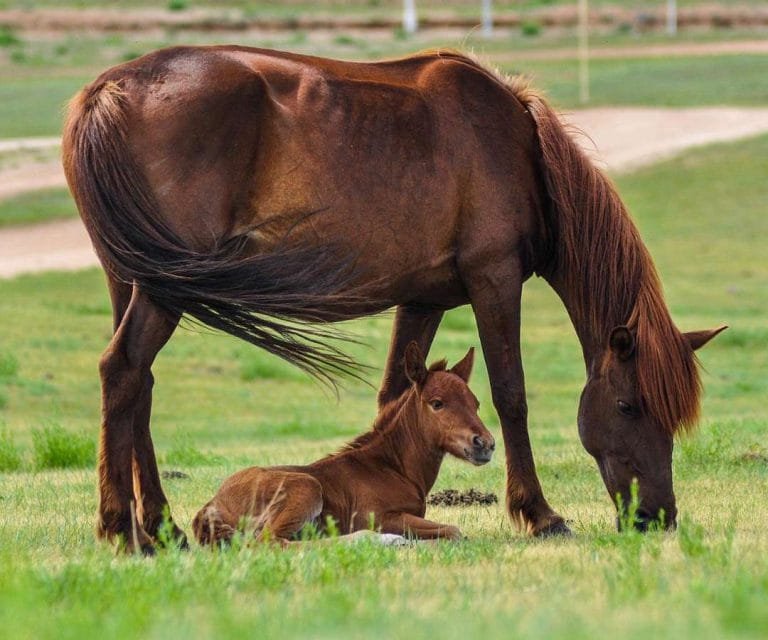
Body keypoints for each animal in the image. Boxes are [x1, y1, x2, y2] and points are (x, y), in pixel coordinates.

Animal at [192, 343, 493, 546]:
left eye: (476, 403)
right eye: (437, 403)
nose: (485, 444)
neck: (392, 467)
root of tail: (212, 505)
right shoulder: (381, 517)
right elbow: (453, 531)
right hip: (306, 488)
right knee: (271, 543)